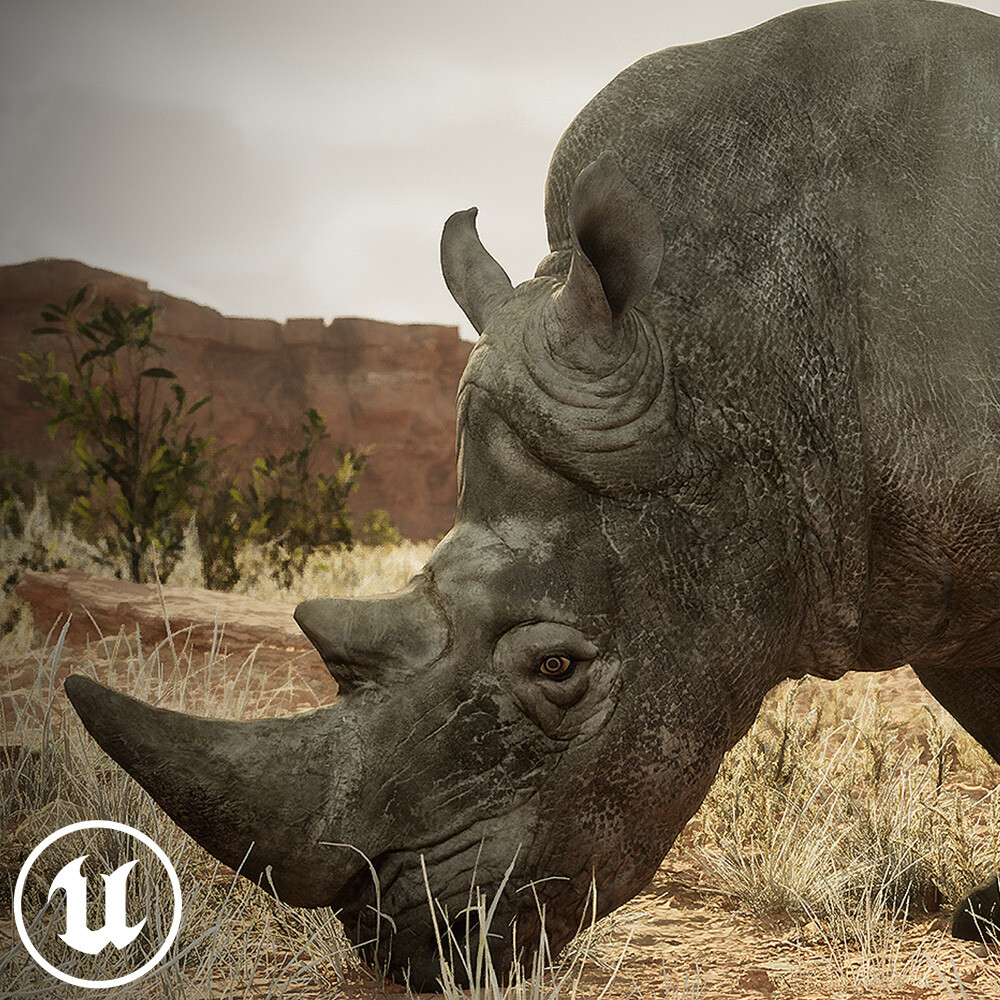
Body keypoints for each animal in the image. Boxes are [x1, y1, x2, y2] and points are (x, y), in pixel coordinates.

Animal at [65, 0, 1000, 987]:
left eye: (558, 668)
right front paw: (988, 918)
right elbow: (991, 713)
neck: (742, 356)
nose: (399, 943)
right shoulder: (917, 564)